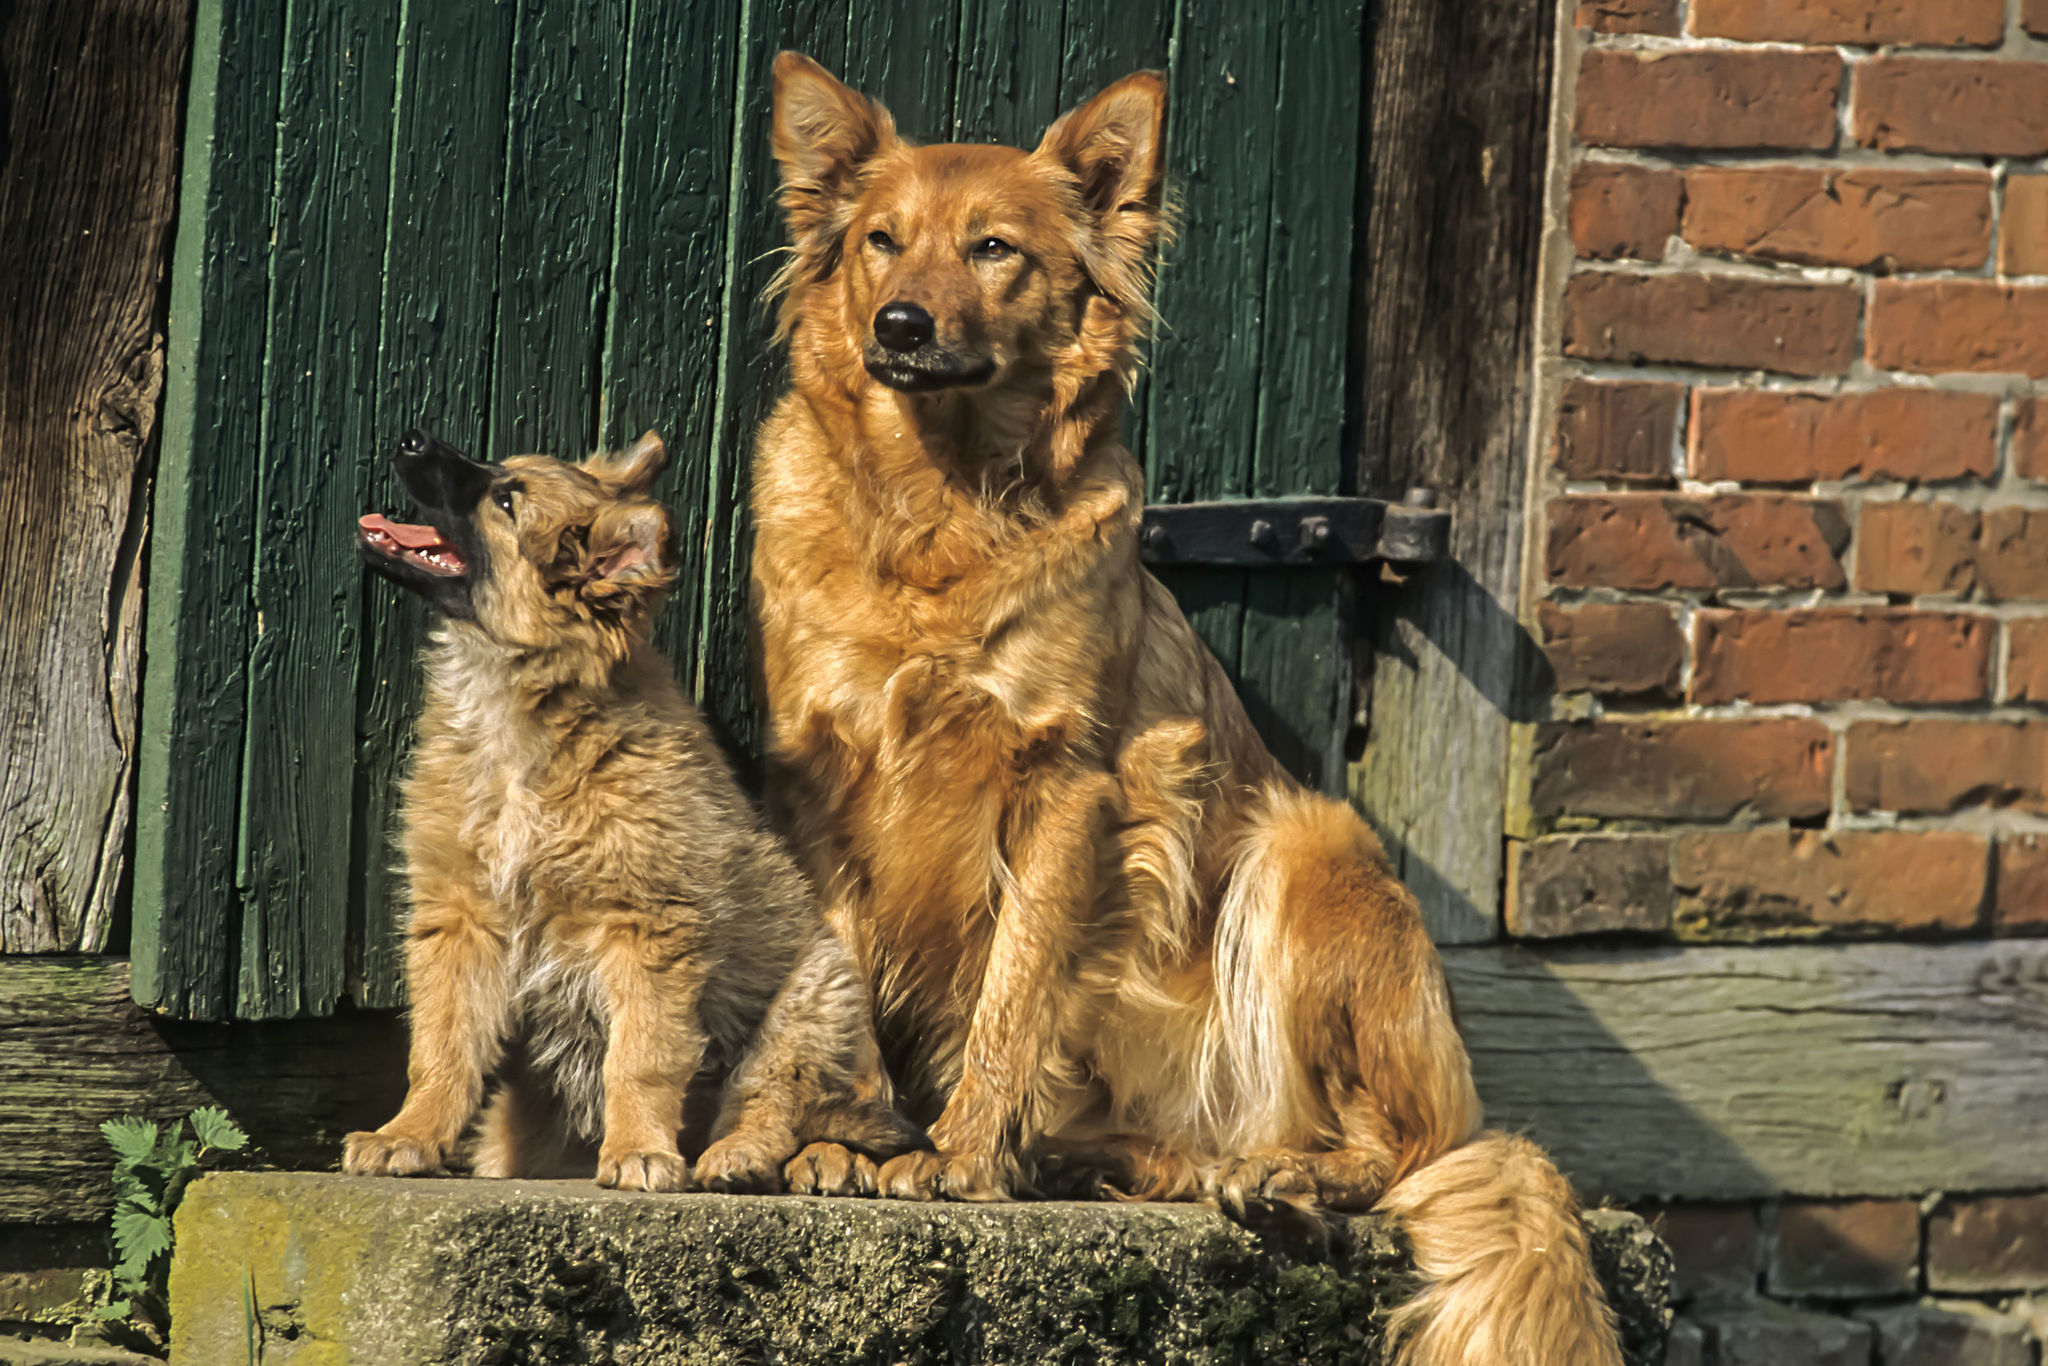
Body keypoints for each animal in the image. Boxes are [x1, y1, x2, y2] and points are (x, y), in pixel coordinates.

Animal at [342, 427, 920, 1195]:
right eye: (501, 475)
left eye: (506, 499)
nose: (409, 437)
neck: (524, 714)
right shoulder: (460, 918)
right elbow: (442, 1048)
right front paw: (409, 1134)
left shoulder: (647, 928)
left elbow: (639, 1057)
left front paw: (640, 1148)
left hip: (809, 1000)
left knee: (776, 1101)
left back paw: (741, 1155)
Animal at [745, 52, 1625, 1366]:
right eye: (878, 242)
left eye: (994, 249)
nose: (898, 324)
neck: (936, 510)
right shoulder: (820, 778)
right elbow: (837, 973)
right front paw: (839, 1138)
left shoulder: (1066, 783)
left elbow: (1013, 989)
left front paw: (958, 1155)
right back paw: (1110, 1163)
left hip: (1308, 851)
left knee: (1389, 1146)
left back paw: (1277, 1180)